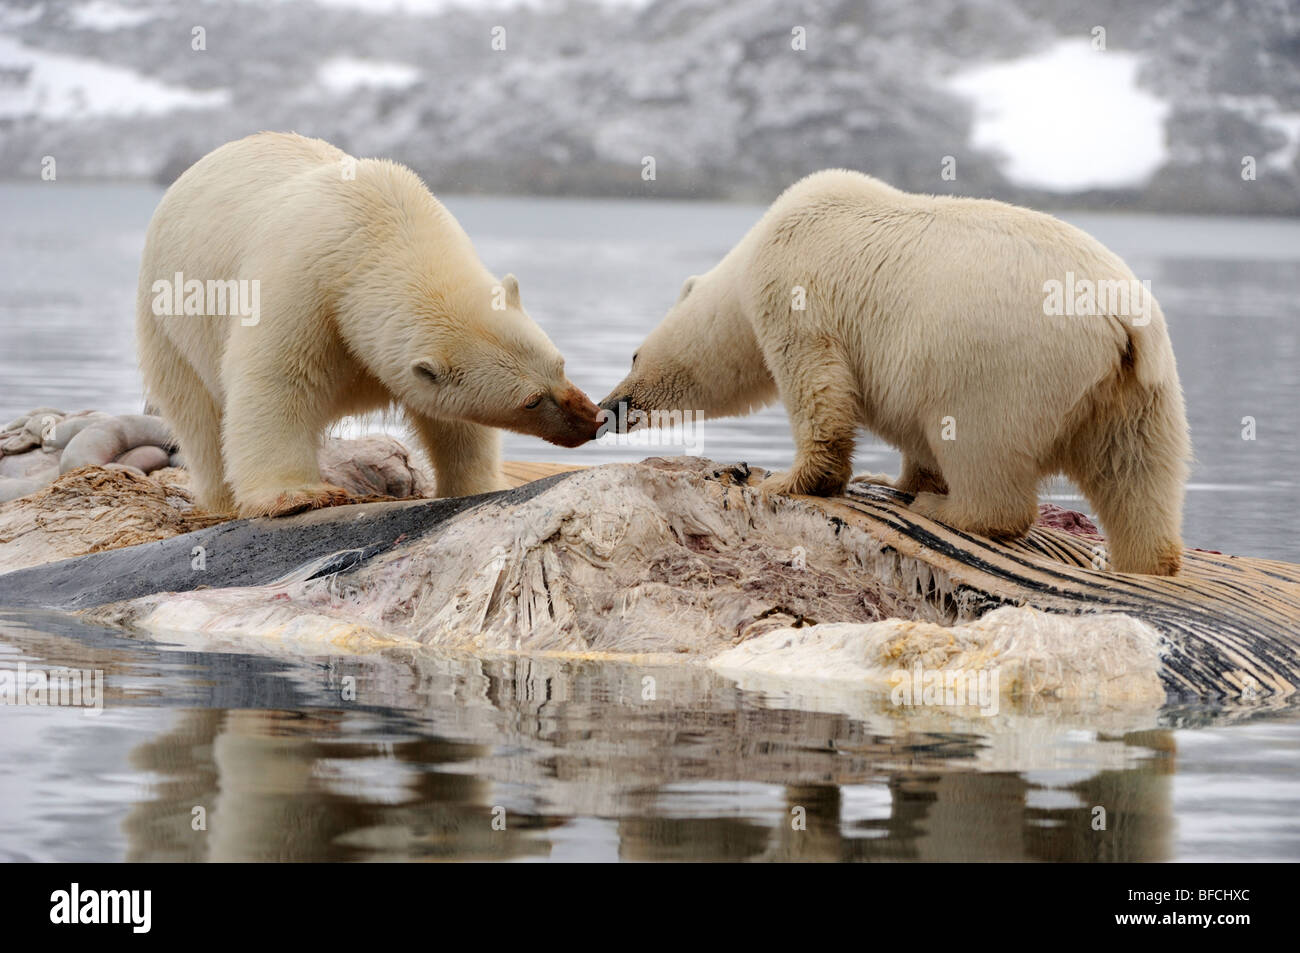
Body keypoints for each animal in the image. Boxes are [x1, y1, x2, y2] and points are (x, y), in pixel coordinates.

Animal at [136, 132, 601, 518]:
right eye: (531, 401)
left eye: (560, 365)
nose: (593, 420)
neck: (380, 228)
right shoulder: (300, 289)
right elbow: (276, 382)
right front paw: (299, 495)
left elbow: (452, 424)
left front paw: (476, 485)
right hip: (168, 318)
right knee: (197, 417)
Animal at [599, 169, 1191, 575]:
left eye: (632, 356)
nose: (609, 408)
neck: (753, 253)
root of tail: (1120, 320)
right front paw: (889, 480)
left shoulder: (796, 288)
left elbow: (820, 388)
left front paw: (788, 480)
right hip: (1139, 390)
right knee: (1137, 474)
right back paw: (1143, 559)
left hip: (1006, 363)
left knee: (983, 447)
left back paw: (952, 509)